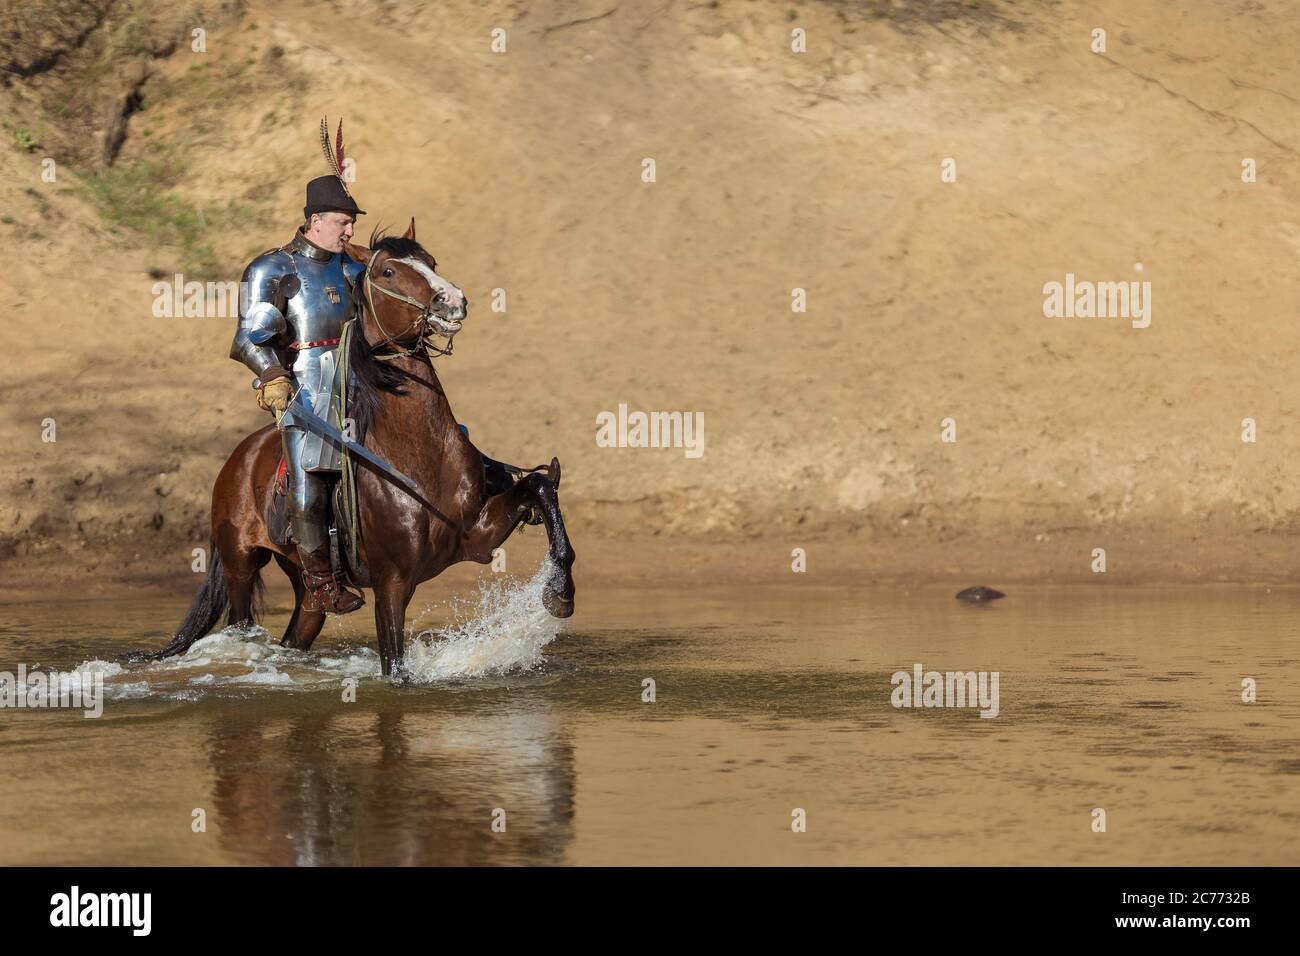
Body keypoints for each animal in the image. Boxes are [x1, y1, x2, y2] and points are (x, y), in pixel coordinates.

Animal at [145, 218, 575, 676]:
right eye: (388, 271)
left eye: (431, 262)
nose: (453, 301)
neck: (420, 458)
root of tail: (239, 457)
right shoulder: (392, 581)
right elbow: (395, 667)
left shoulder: (477, 538)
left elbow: (539, 486)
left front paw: (559, 593)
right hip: (240, 565)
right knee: (243, 615)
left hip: (304, 587)